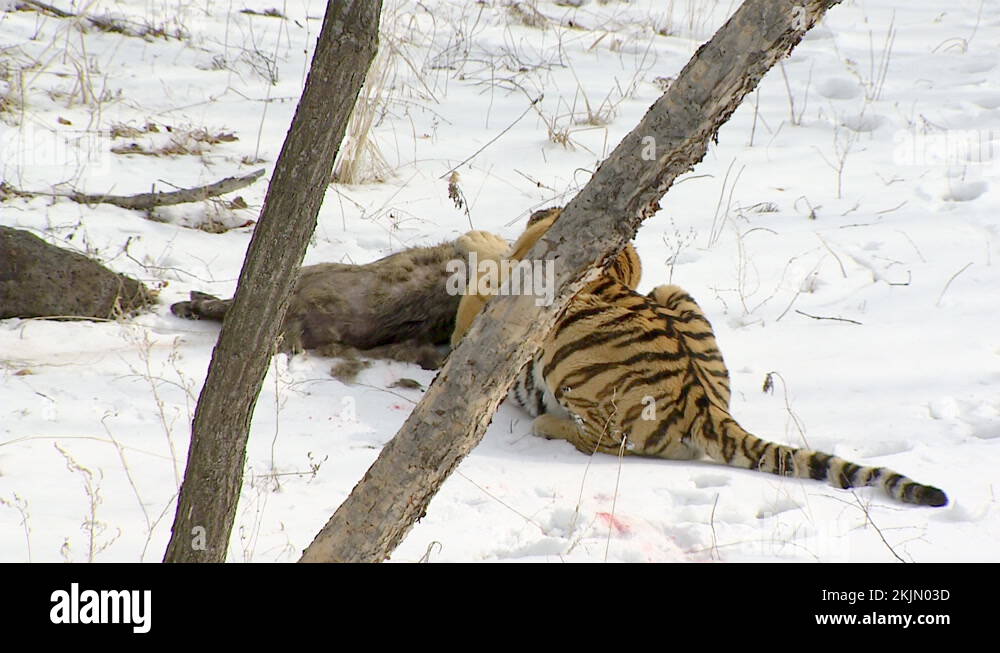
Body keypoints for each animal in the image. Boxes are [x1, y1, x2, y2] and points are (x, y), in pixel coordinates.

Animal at [451, 207, 948, 507]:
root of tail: (706, 408)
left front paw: (477, 242)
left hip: (573, 368)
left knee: (604, 440)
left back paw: (546, 424)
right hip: (674, 292)